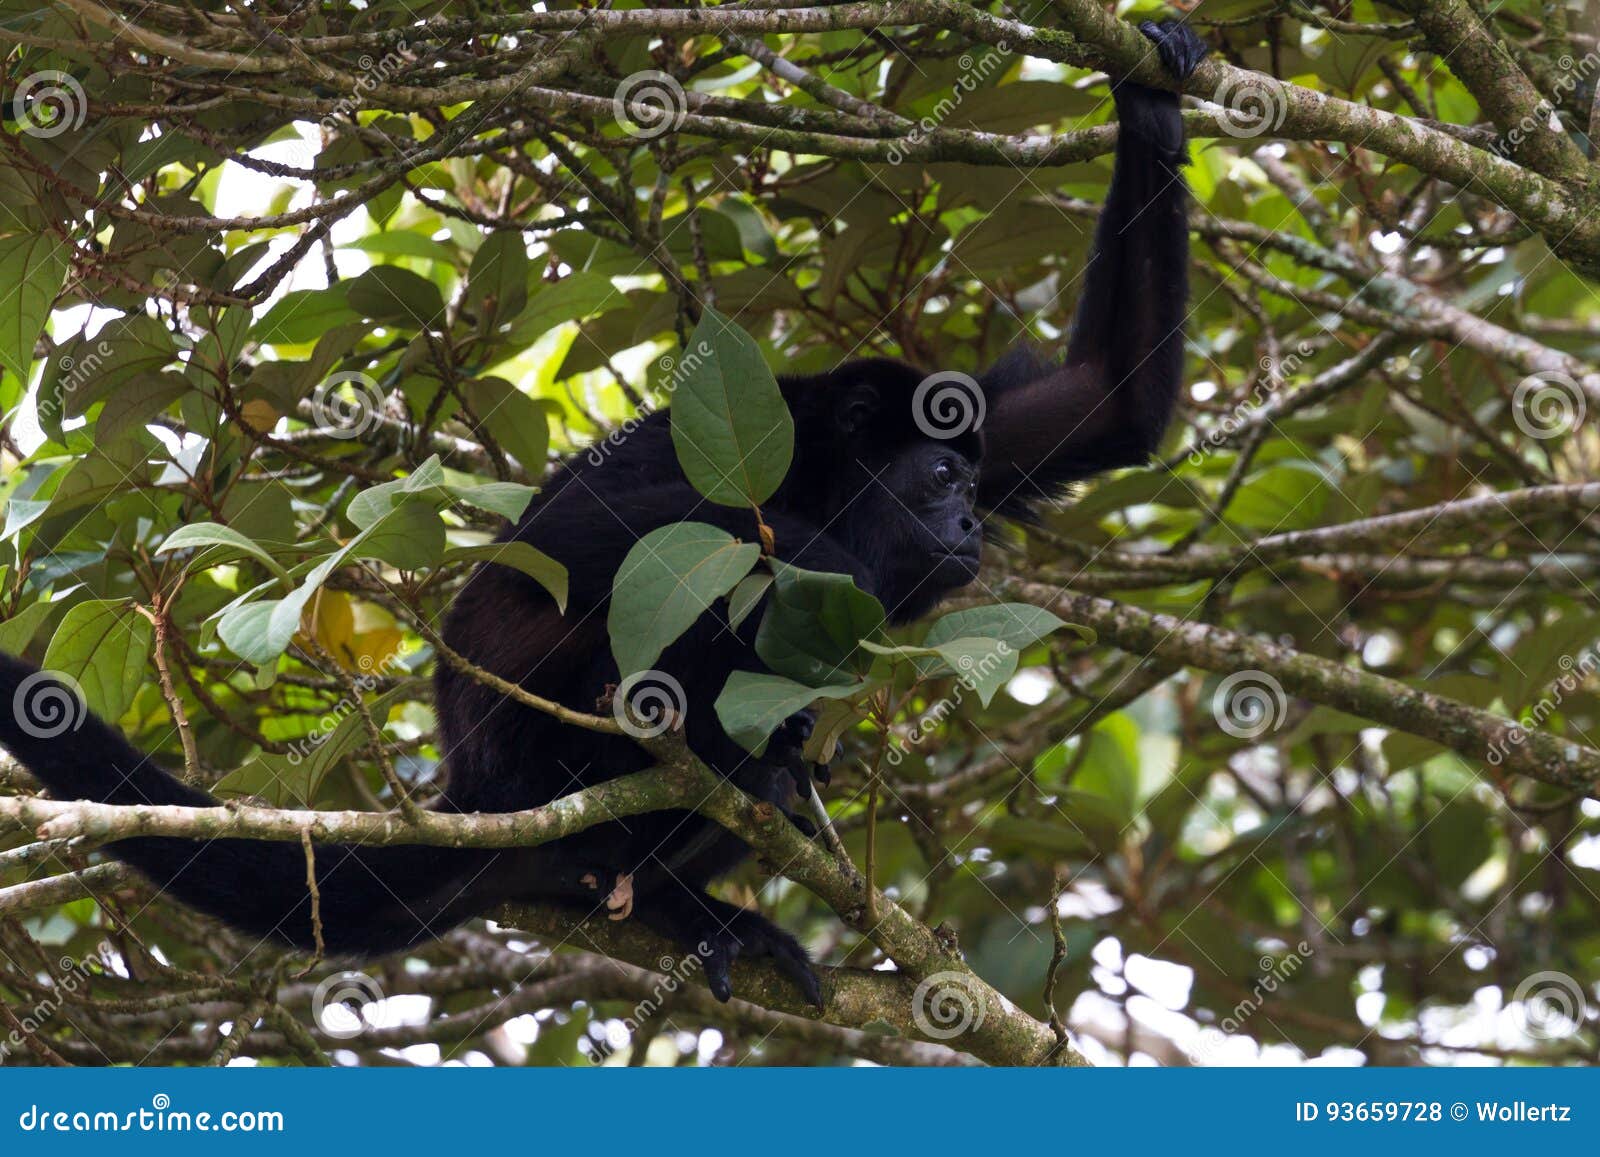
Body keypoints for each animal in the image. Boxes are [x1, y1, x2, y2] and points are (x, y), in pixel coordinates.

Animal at [0, 21, 1205, 1009]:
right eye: (942, 480)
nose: (969, 529)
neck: (829, 475)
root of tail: (467, 790)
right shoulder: (752, 450)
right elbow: (583, 546)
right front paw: (828, 565)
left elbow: (1104, 400)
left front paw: (1149, 94)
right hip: (536, 755)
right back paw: (727, 776)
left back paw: (701, 882)